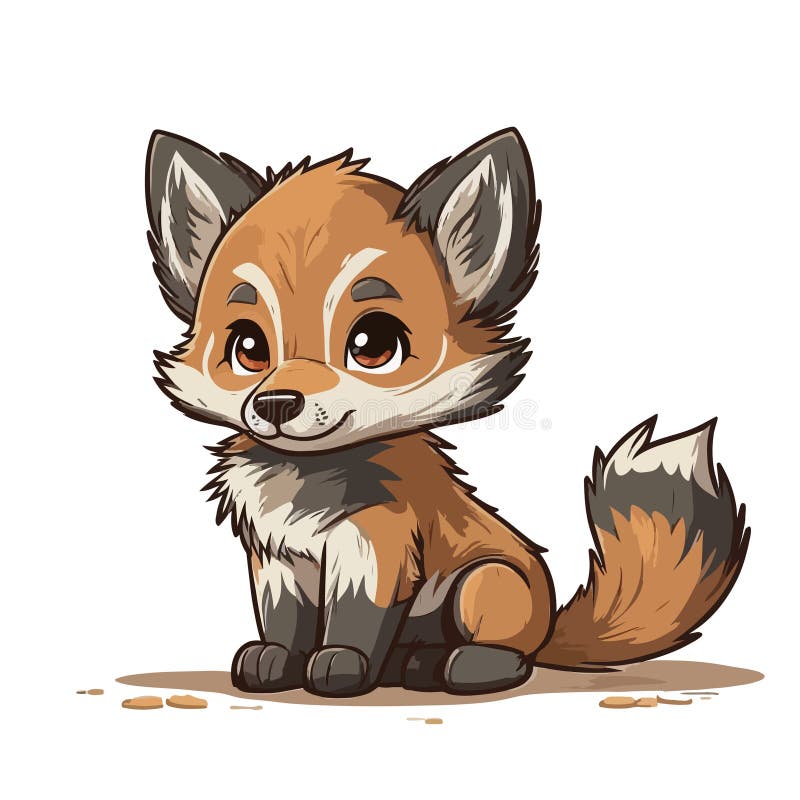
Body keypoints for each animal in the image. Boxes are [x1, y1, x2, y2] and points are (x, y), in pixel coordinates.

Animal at [146, 128, 749, 697]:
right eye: (248, 347)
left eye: (373, 344)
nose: (275, 403)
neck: (308, 480)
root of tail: (549, 629)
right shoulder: (276, 560)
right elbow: (282, 623)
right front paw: (275, 660)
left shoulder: (375, 553)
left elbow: (356, 621)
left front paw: (342, 665)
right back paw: (411, 666)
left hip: (486, 586)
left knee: (509, 656)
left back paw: (459, 666)